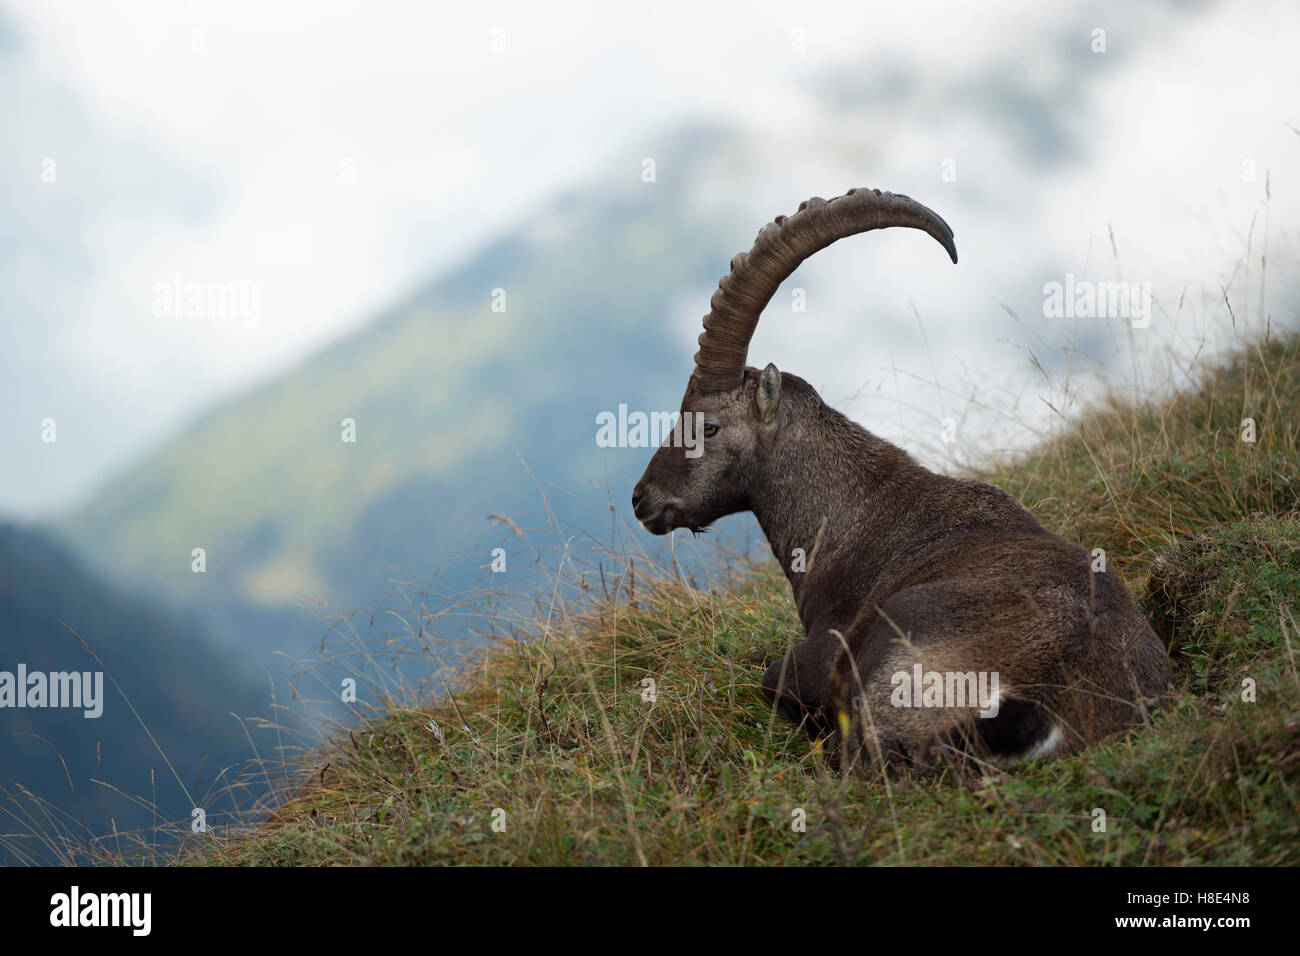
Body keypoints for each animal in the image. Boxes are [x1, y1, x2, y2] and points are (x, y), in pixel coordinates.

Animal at [632, 188, 1171, 768]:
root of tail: (1045, 706)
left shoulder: (822, 651)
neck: (852, 515)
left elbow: (774, 680)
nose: (642, 499)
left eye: (708, 425)